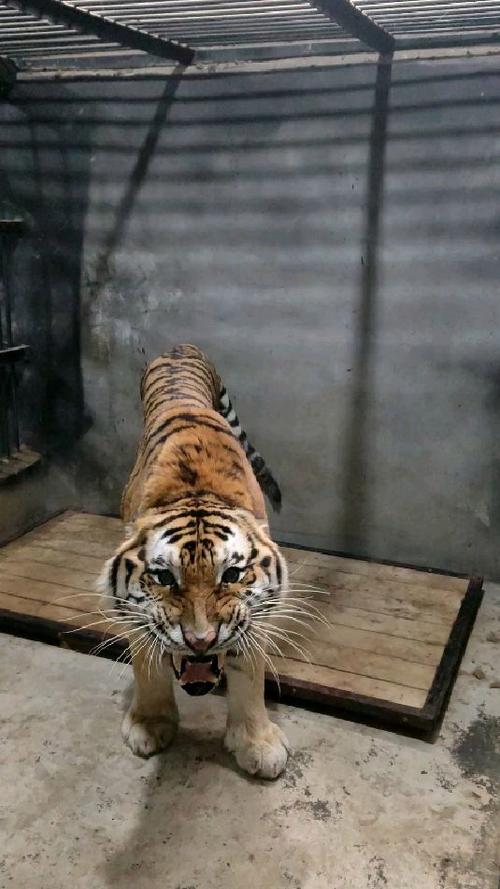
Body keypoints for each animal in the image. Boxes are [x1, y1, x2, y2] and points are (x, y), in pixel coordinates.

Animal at [99, 344, 291, 779]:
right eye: (164, 577)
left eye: (232, 574)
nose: (200, 642)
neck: (196, 490)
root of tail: (178, 349)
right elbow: (148, 665)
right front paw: (149, 725)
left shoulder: (254, 612)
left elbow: (249, 673)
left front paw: (257, 744)